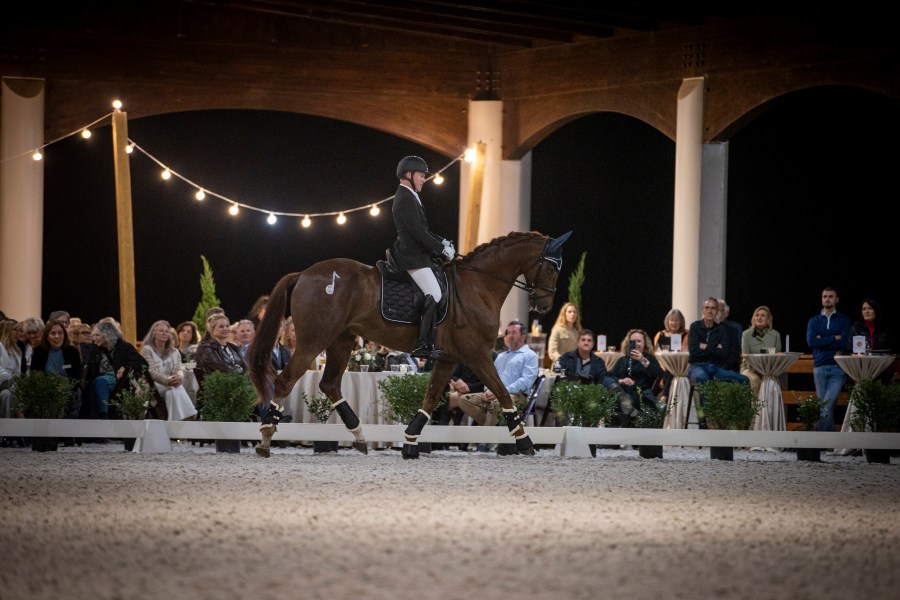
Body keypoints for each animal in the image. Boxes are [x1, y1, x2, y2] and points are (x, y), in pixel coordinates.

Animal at [246, 230, 571, 458]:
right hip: (315, 340)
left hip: (341, 339)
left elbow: (430, 397)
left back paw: (360, 436)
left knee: (329, 384)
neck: (479, 287)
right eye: (552, 268)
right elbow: (503, 393)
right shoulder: (478, 355)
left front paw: (411, 442)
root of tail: (303, 274)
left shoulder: (449, 358)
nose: (543, 307)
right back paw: (266, 438)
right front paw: (525, 441)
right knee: (285, 380)